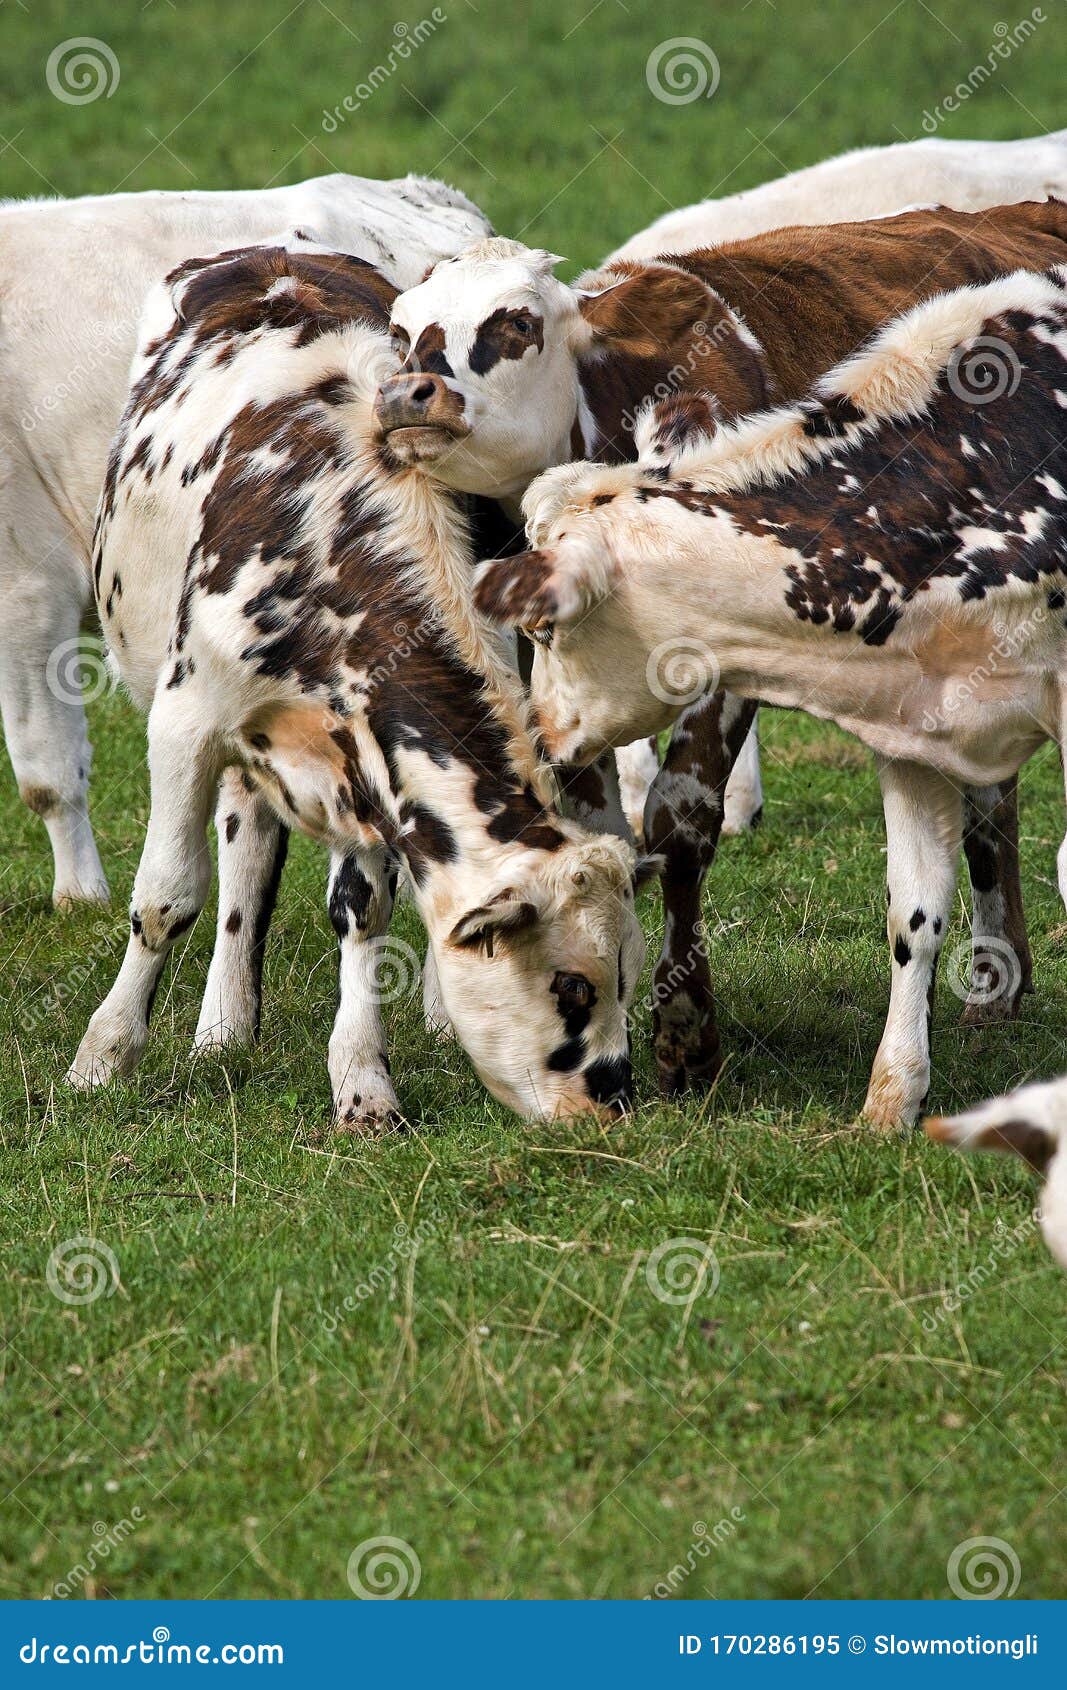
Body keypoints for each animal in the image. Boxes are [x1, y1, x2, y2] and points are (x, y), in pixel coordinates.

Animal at [65, 244, 648, 1127]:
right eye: (573, 986)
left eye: (625, 972)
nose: (613, 1099)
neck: (333, 538)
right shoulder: (183, 720)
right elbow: (166, 898)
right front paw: (103, 1054)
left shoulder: (367, 752)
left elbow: (363, 909)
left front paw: (363, 1080)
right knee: (240, 853)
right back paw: (222, 1028)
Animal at [374, 199, 1067, 1093]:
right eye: (401, 331)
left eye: (515, 323)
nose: (405, 392)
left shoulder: (729, 654)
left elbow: (679, 820)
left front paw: (685, 1033)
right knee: (989, 796)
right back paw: (996, 973)